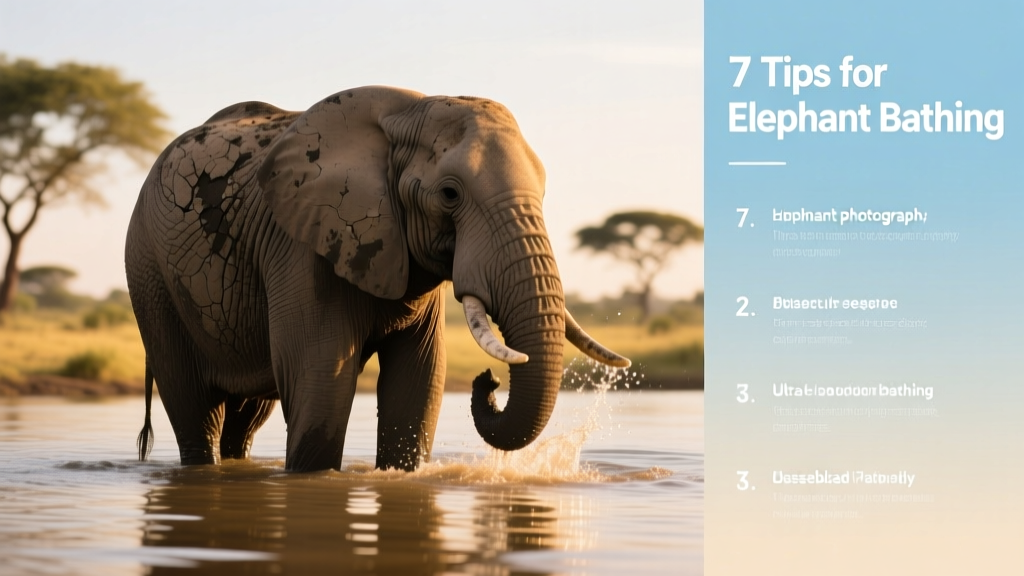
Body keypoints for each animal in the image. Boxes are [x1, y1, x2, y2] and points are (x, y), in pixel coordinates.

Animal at [125, 85, 629, 472]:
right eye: (450, 194)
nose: (487, 381)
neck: (407, 112)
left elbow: (419, 385)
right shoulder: (305, 248)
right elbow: (321, 386)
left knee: (245, 419)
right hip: (149, 276)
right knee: (195, 411)